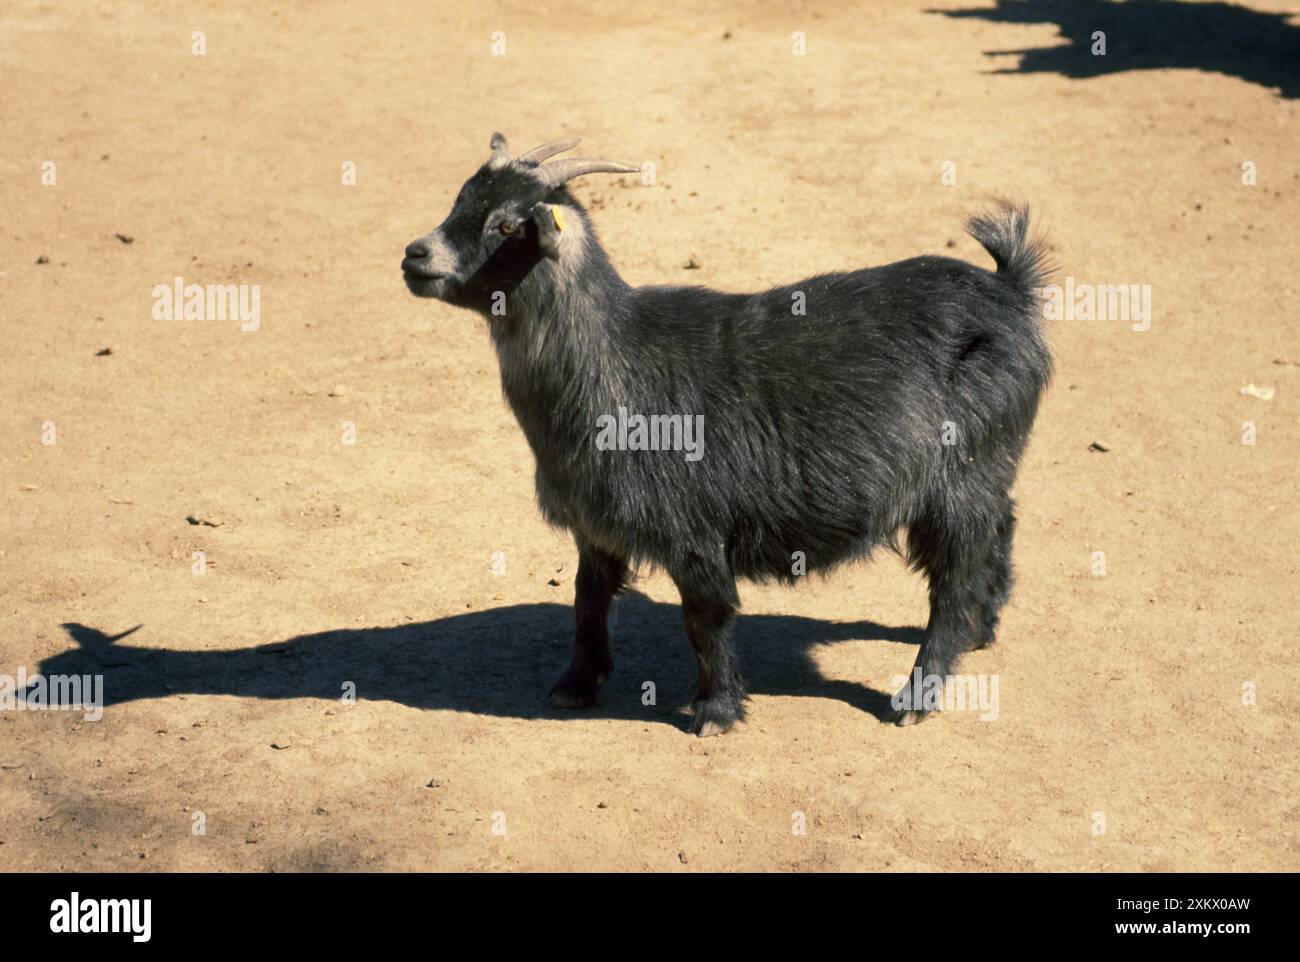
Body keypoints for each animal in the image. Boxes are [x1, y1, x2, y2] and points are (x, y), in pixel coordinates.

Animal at [402, 133, 1051, 735]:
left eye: (507, 224)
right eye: (461, 197)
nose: (415, 254)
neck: (611, 359)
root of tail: (1010, 292)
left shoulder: (693, 527)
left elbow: (705, 616)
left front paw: (714, 710)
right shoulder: (597, 524)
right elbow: (588, 599)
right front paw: (576, 684)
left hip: (959, 475)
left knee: (953, 580)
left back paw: (917, 696)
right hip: (990, 466)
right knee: (1002, 526)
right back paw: (984, 628)